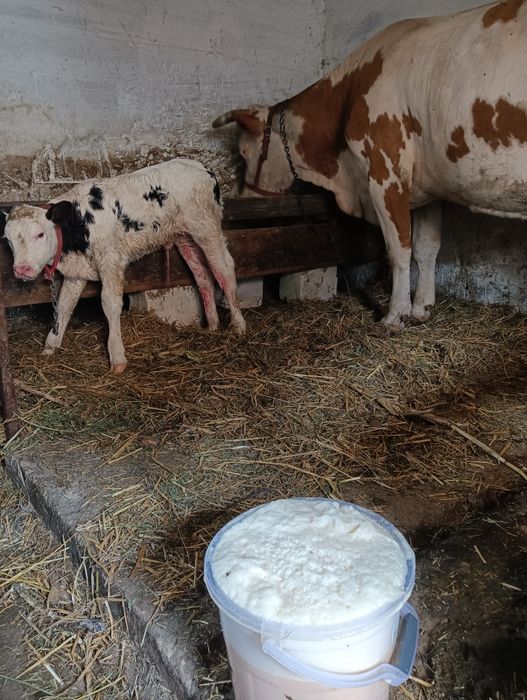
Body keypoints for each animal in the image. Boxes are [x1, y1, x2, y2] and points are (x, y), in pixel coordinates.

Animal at [0, 159, 246, 373]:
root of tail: (200, 166)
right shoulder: (76, 272)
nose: (21, 269)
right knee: (203, 275)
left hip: (206, 227)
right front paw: (51, 345)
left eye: (40, 234)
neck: (80, 223)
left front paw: (117, 358)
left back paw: (238, 326)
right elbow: (64, 305)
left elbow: (110, 304)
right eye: (8, 240)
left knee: (224, 270)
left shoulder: (111, 260)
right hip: (183, 236)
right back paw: (212, 324)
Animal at [213, 0, 527, 332]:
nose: (243, 197)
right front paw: (421, 309)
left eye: (244, 152)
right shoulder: (427, 185)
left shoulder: (385, 171)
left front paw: (394, 316)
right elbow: (427, 247)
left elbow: (399, 249)